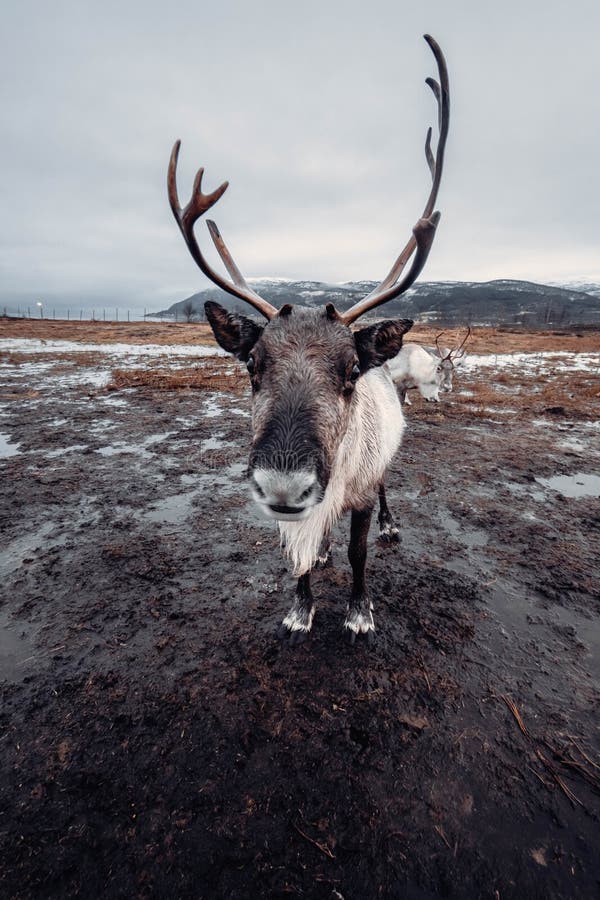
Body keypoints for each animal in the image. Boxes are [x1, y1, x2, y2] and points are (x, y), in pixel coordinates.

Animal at [167, 34, 450, 645]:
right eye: (251, 364)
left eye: (350, 370)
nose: (283, 488)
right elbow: (297, 558)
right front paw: (301, 606)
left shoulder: (360, 490)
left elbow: (359, 552)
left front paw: (360, 611)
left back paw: (390, 527)